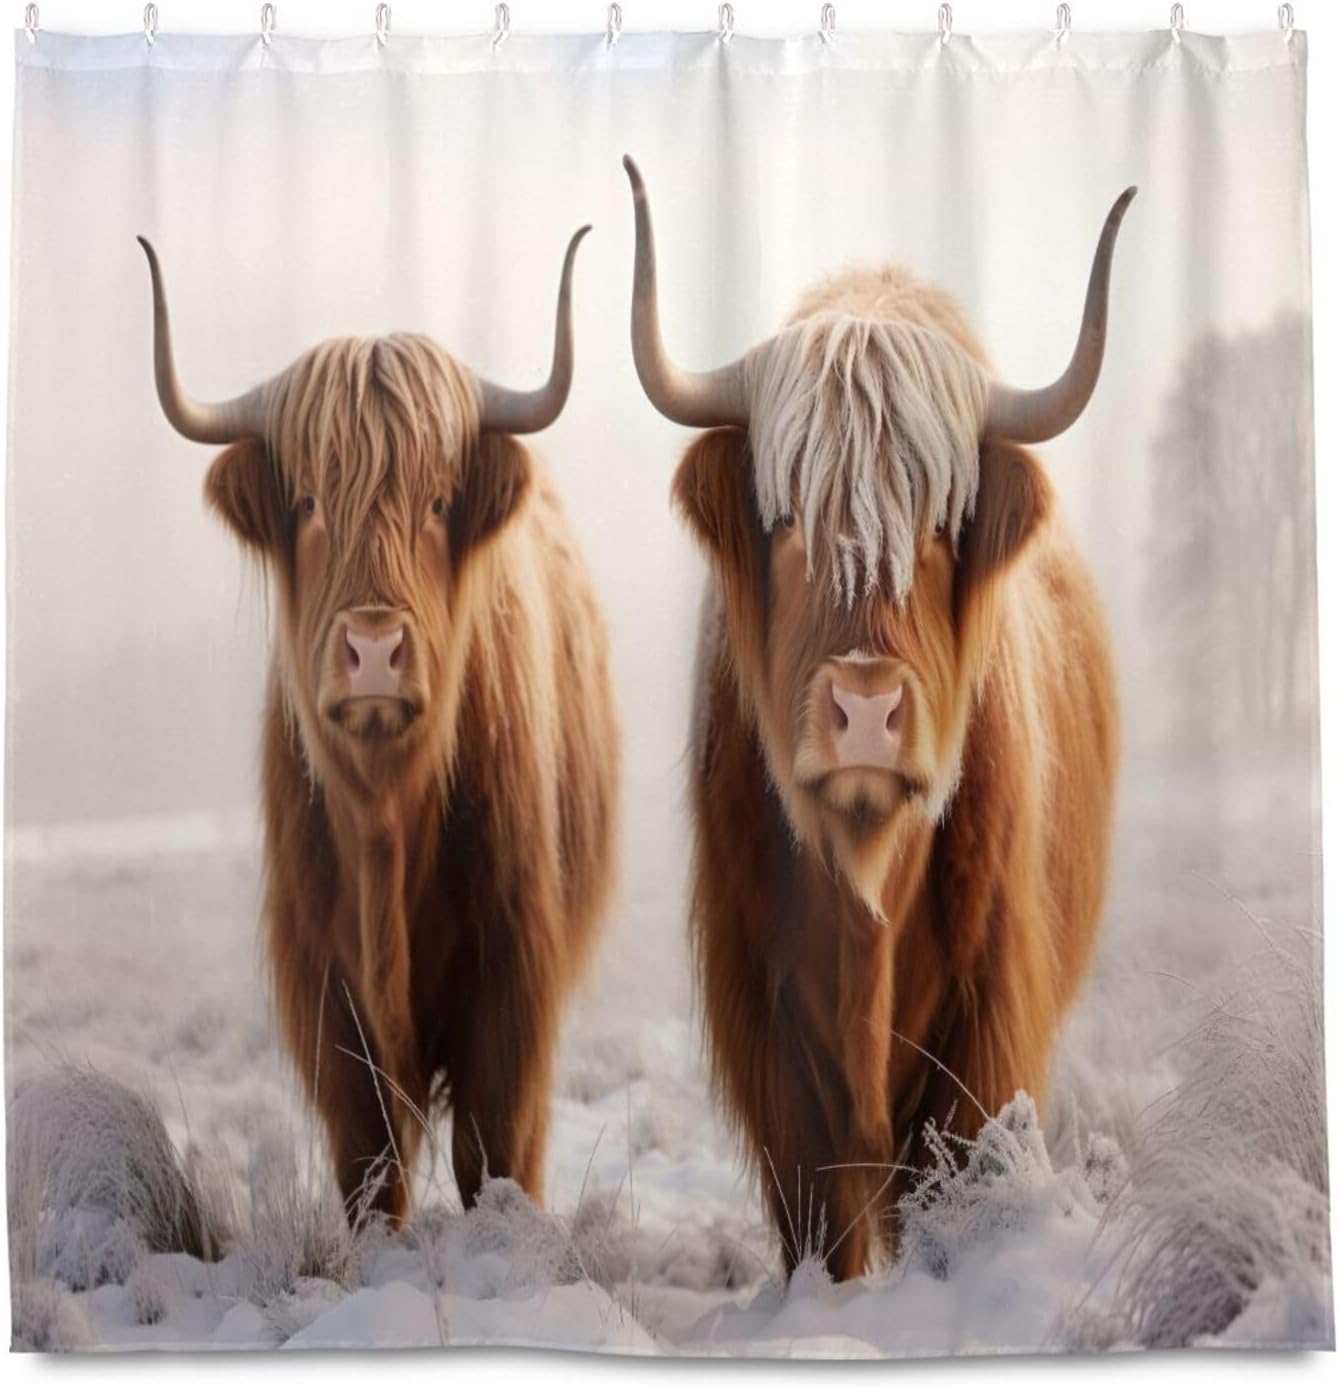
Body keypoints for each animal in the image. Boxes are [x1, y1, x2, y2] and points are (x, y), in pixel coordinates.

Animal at [138, 229, 619, 1224]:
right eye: (308, 503)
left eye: (437, 502)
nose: (371, 650)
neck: (387, 819)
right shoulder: (322, 980)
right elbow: (368, 1156)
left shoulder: (516, 965)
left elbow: (495, 1149)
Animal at [622, 156, 1130, 1281]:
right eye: (782, 518)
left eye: (941, 522)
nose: (864, 708)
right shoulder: (766, 1023)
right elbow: (824, 1211)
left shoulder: (990, 1020)